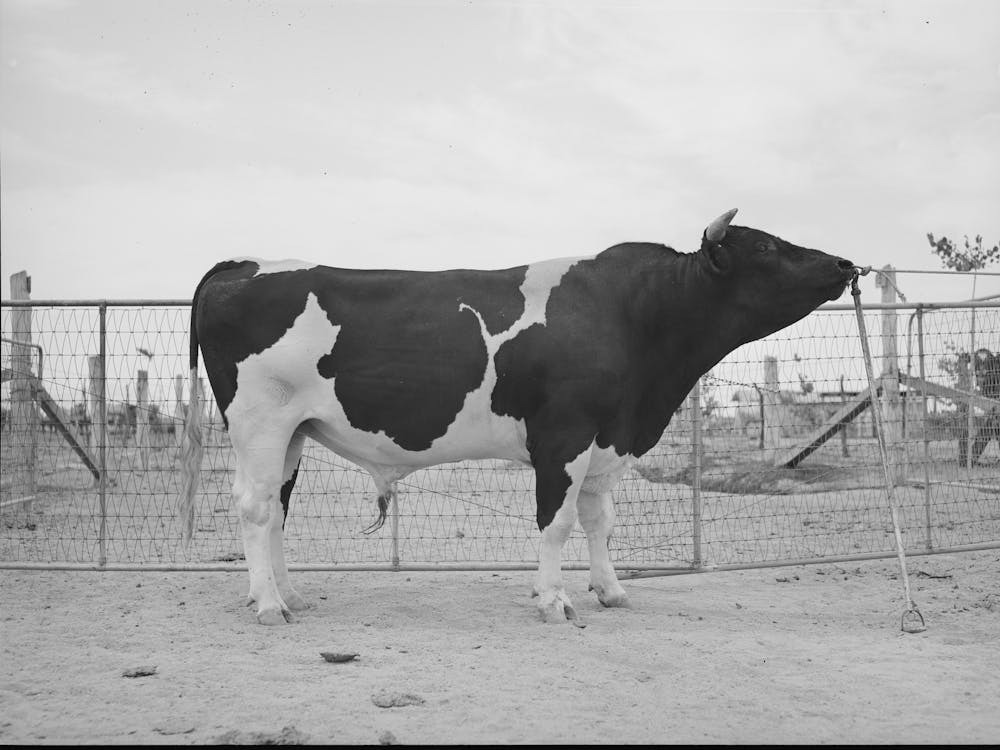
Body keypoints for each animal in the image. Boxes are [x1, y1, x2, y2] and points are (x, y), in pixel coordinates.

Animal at [179, 208, 856, 625]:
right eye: (765, 246)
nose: (846, 264)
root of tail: (242, 263)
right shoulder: (564, 434)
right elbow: (556, 523)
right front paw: (554, 600)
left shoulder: (608, 438)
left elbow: (599, 521)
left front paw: (610, 590)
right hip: (260, 423)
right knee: (255, 506)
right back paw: (269, 605)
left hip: (292, 433)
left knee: (277, 509)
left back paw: (287, 592)